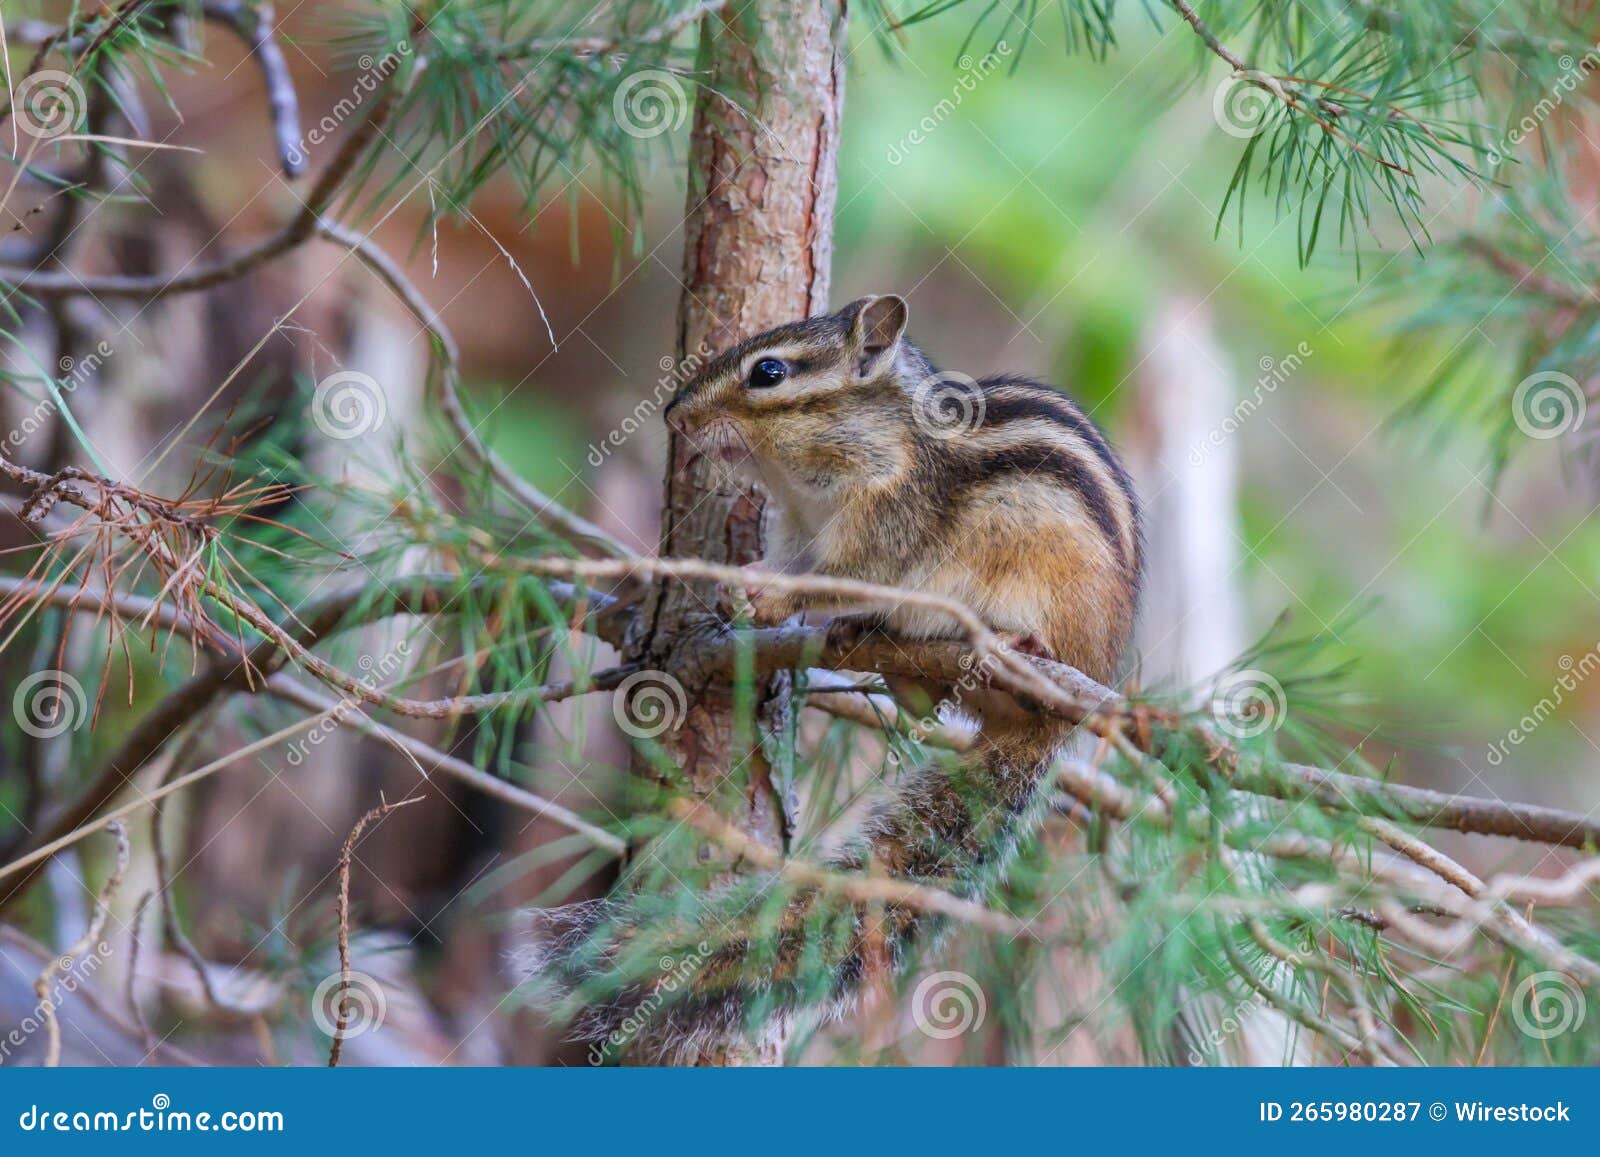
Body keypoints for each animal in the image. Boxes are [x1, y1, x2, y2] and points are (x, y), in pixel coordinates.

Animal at [514, 295, 1141, 1061]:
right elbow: (806, 566)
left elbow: (842, 575)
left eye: (769, 372)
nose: (674, 415)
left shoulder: (886, 516)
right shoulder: (799, 526)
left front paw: (764, 592)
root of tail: (1053, 724)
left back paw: (1010, 640)